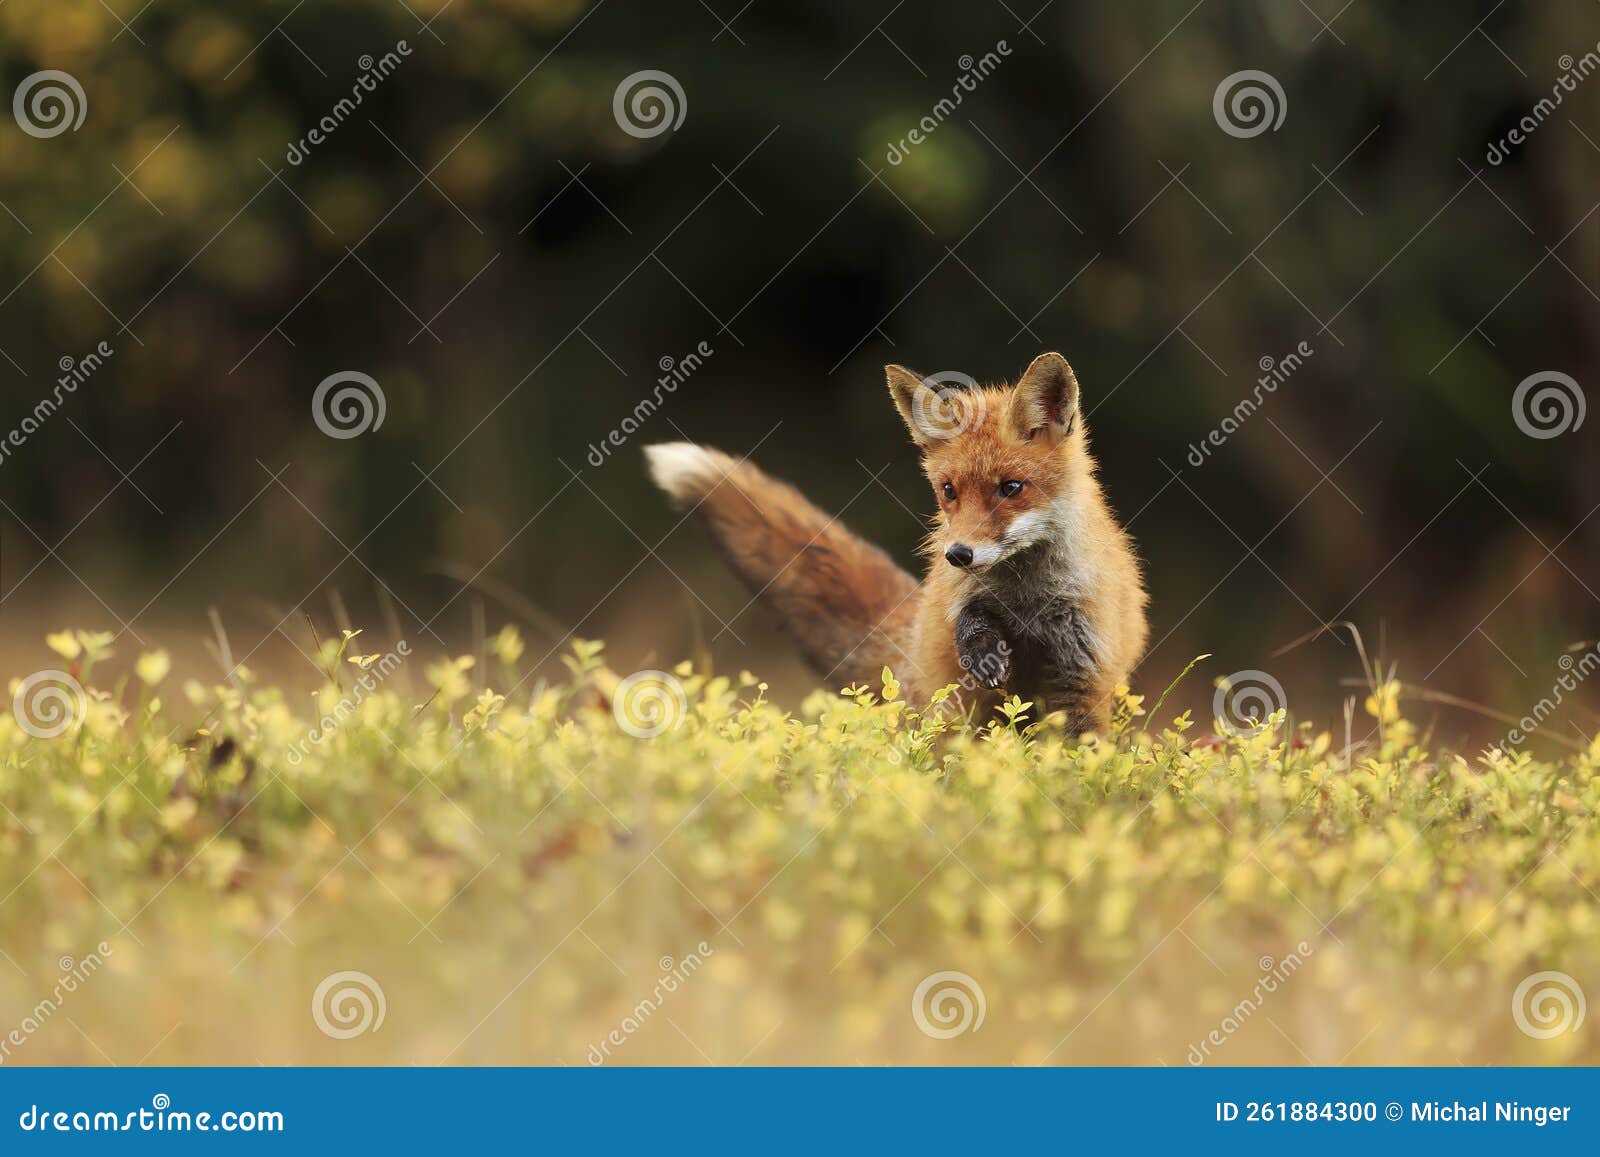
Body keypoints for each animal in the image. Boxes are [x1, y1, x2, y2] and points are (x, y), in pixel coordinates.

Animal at [643, 351, 1148, 733]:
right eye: (948, 491)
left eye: (1011, 488)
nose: (957, 554)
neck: (1028, 598)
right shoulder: (959, 598)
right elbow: (967, 617)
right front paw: (983, 649)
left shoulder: (1081, 675)